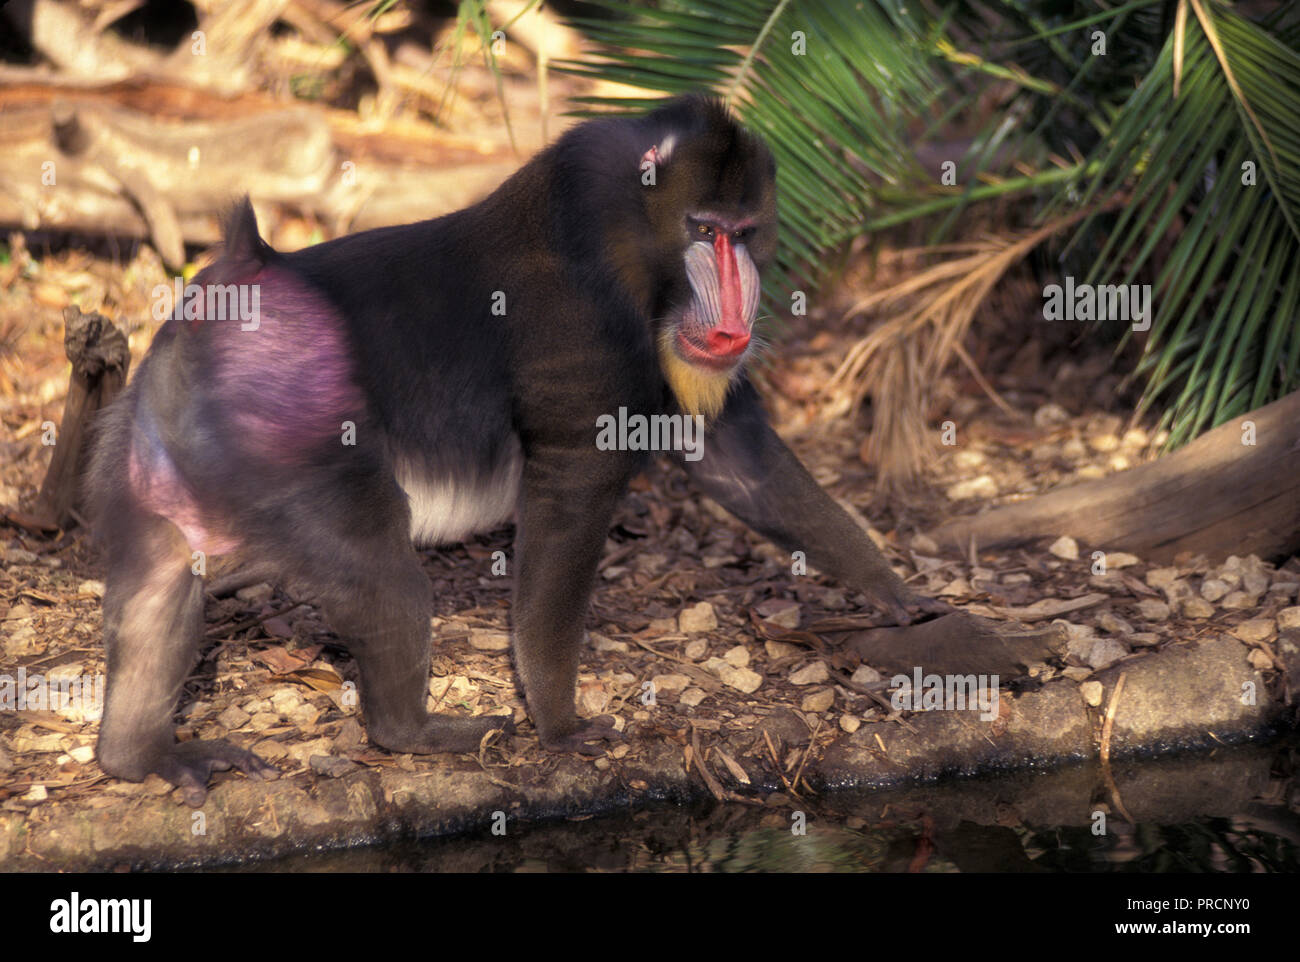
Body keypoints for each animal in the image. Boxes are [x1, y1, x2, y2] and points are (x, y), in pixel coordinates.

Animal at [86, 96, 947, 806]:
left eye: (742, 233)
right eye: (703, 232)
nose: (735, 317)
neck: (626, 243)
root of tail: (244, 275)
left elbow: (746, 466)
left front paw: (897, 593)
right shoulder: (582, 364)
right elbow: (563, 526)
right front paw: (562, 726)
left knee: (165, 575)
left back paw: (141, 758)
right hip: (301, 446)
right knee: (377, 565)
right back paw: (414, 730)